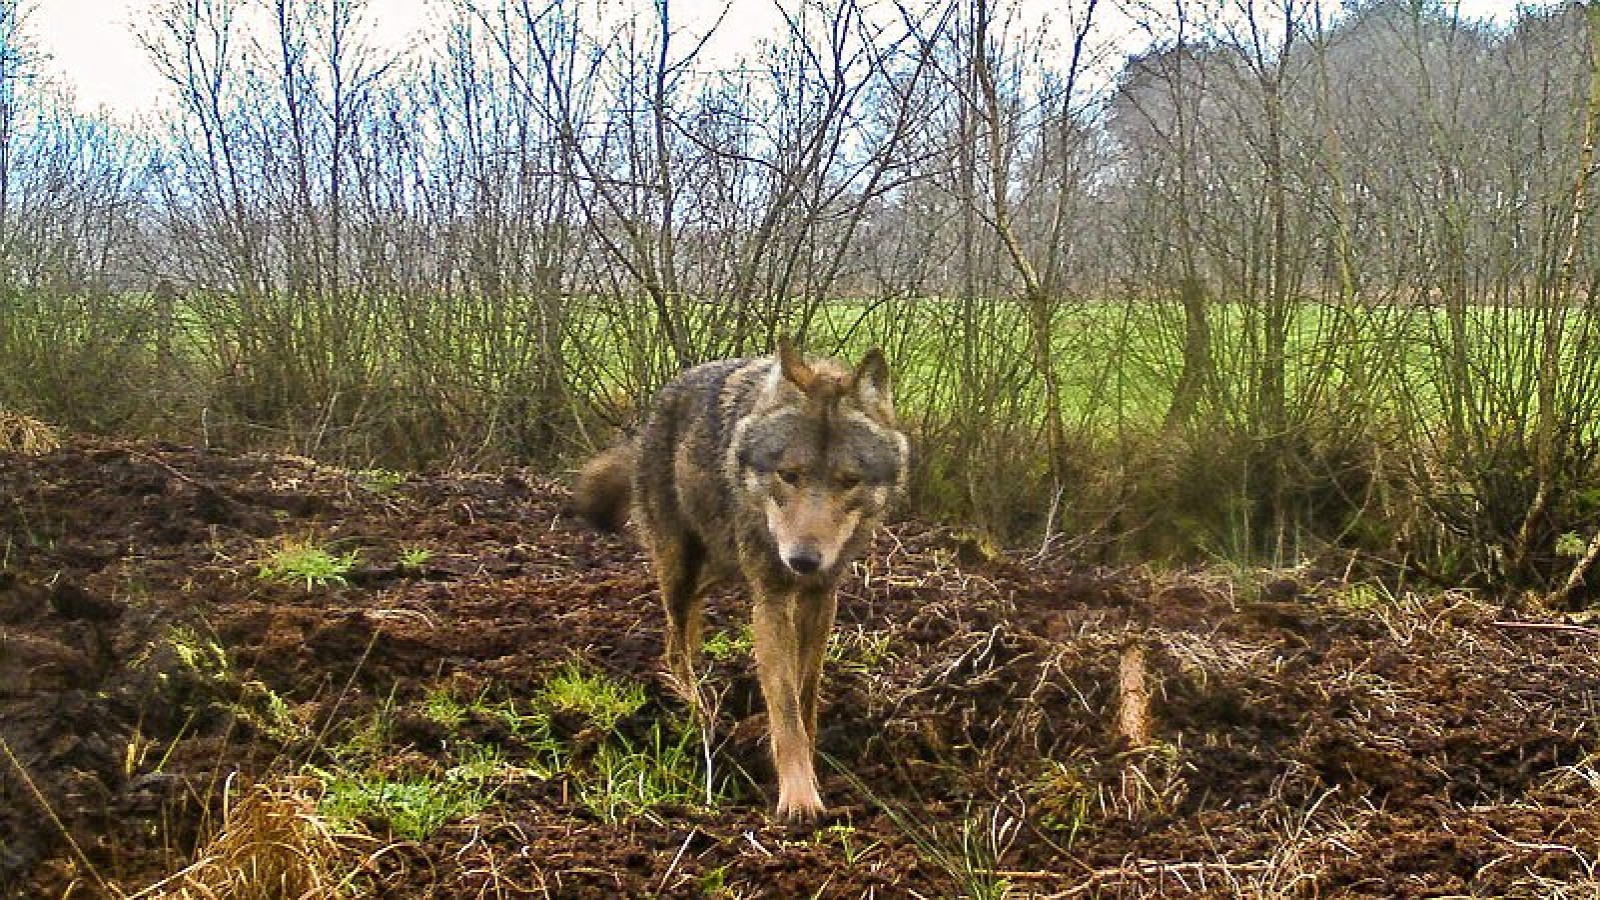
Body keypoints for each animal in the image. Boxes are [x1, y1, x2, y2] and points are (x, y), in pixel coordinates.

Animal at [574, 338, 908, 822]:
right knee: (675, 641)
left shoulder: (820, 596)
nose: (803, 560)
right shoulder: (770, 599)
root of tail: (662, 401)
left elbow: (805, 691)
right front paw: (798, 798)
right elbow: (784, 705)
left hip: (721, 569)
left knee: (685, 628)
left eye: (848, 481)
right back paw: (695, 709)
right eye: (789, 475)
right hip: (681, 566)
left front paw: (811, 769)